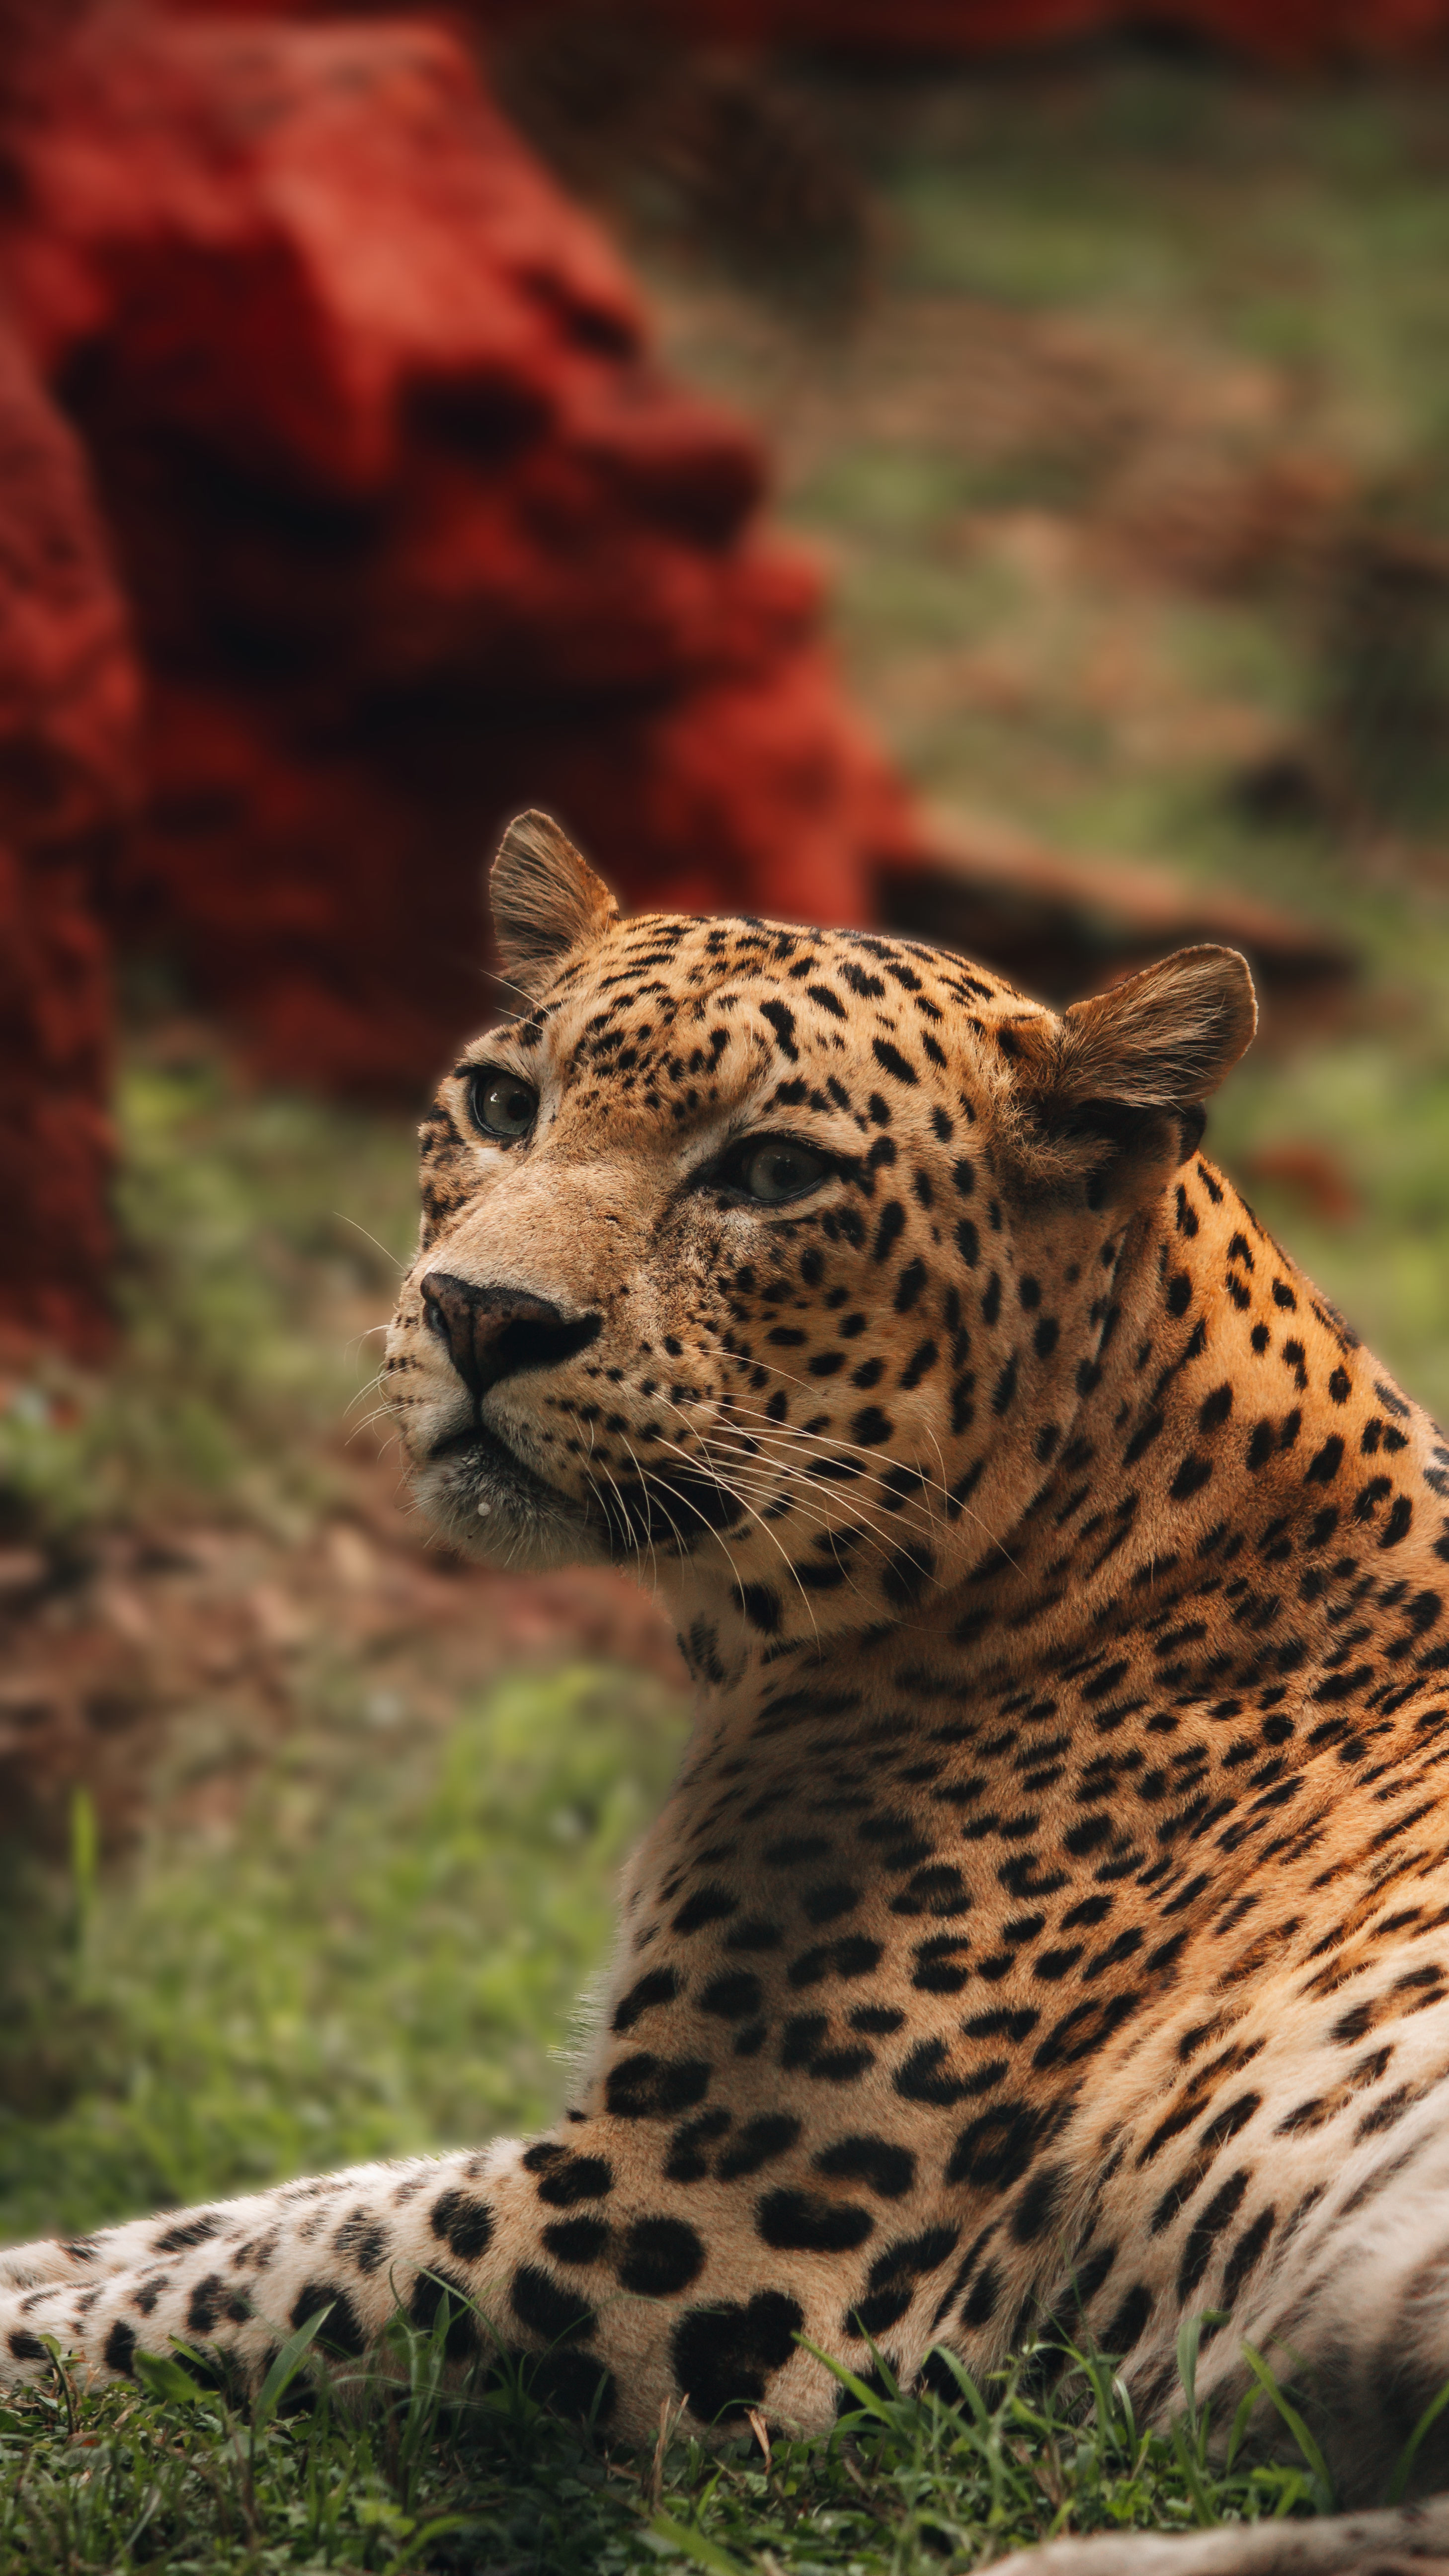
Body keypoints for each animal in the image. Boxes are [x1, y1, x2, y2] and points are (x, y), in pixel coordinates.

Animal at [7, 808, 1449, 2572]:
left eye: (770, 1174)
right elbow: (257, 2210)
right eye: (503, 1104)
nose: (477, 1314)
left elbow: (251, 2273)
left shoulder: (690, 2229)